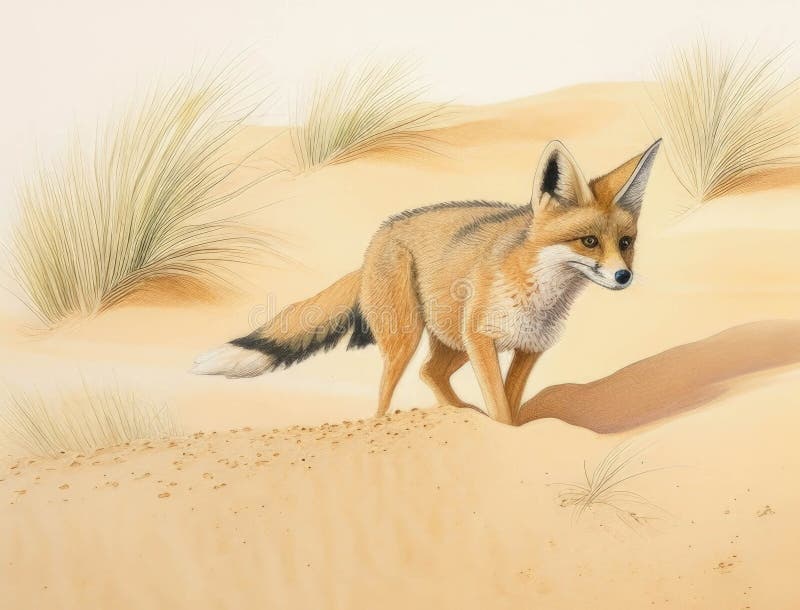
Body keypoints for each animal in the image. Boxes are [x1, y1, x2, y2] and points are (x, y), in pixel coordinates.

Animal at [192, 139, 661, 425]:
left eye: (625, 243)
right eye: (588, 241)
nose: (623, 276)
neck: (540, 294)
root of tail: (377, 239)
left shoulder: (528, 348)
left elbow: (508, 408)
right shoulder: (482, 339)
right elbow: (501, 408)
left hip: (451, 341)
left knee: (429, 373)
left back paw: (460, 415)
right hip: (412, 336)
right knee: (387, 394)